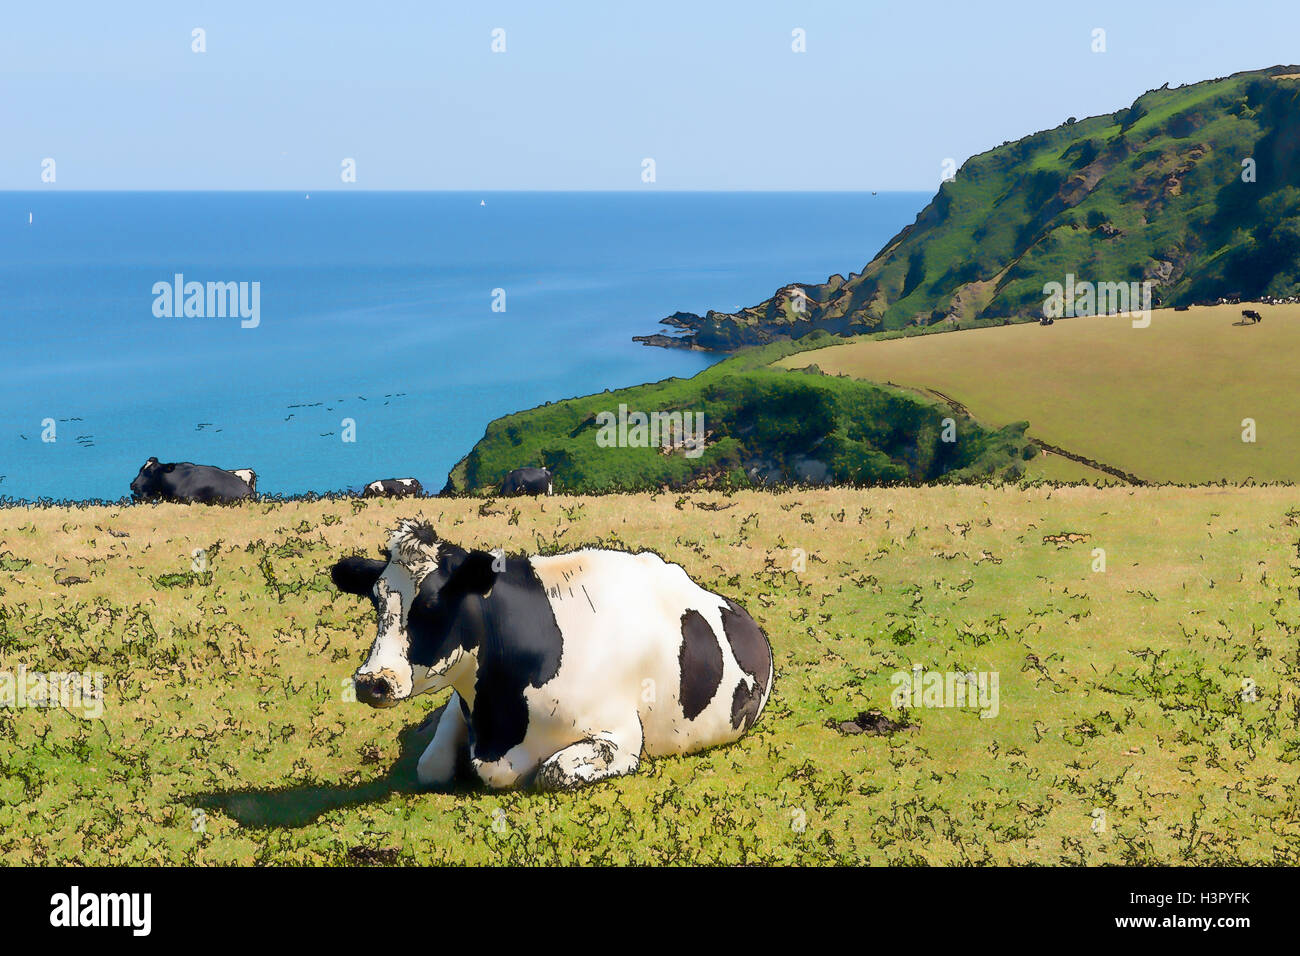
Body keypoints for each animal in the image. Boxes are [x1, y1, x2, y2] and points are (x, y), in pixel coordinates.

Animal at [329, 519, 774, 790]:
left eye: (433, 604)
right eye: (376, 602)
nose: (372, 681)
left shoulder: (622, 735)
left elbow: (553, 771)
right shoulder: (462, 702)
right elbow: (431, 766)